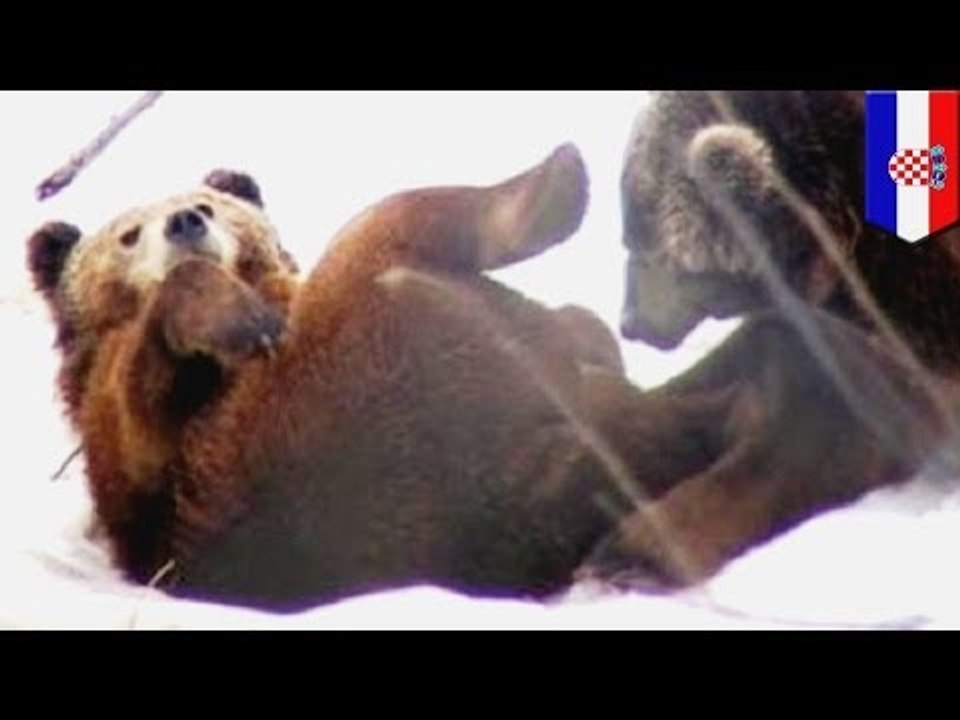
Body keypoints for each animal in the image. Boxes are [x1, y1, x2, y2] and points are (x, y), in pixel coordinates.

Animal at [29, 145, 733, 611]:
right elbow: (139, 414)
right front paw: (242, 319)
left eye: (207, 203)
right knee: (395, 221)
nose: (185, 222)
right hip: (365, 371)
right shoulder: (147, 428)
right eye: (127, 233)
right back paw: (556, 187)